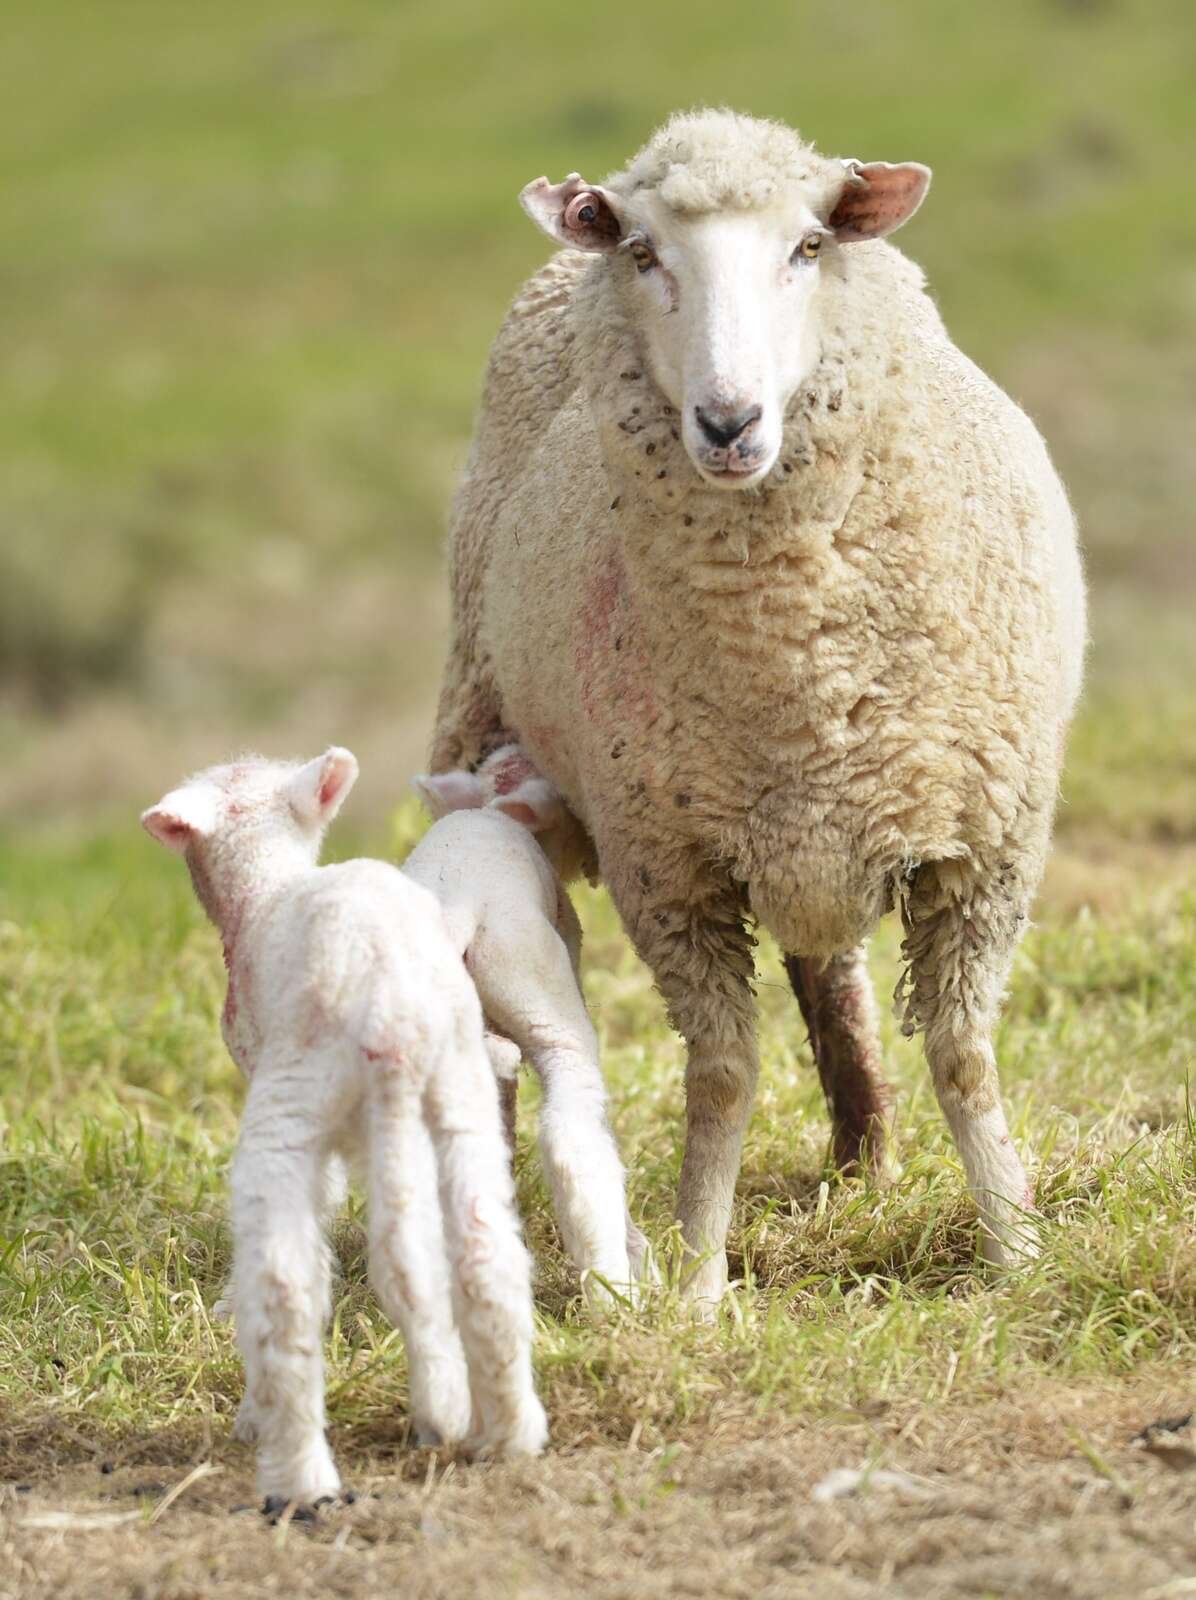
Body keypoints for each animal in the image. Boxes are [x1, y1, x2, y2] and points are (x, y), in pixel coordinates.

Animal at [142, 748, 546, 1508]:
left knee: (289, 1287)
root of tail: (392, 1017)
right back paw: (510, 1434)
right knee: (485, 1254)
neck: (264, 888)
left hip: (292, 1101)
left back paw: (295, 1469)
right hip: (460, 1090)